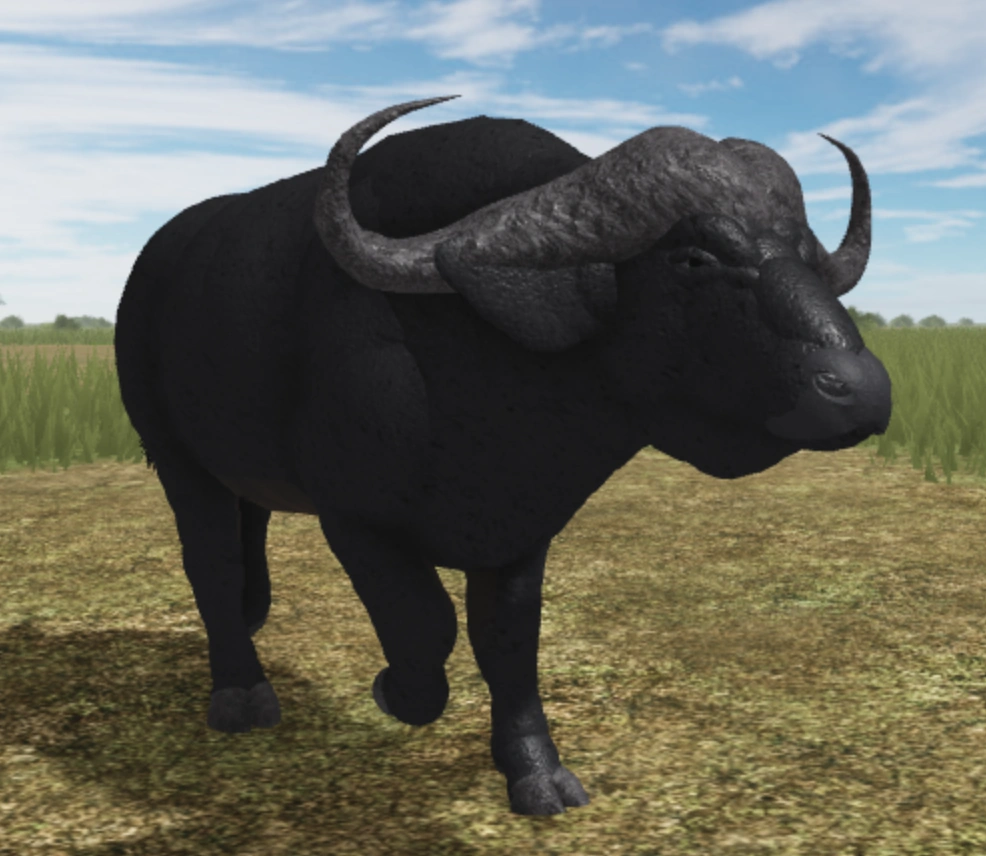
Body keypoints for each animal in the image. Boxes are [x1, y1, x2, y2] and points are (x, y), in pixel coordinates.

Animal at [114, 96, 891, 815]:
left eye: (806, 252)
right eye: (693, 258)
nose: (862, 390)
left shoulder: (524, 528)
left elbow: (510, 641)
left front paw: (536, 773)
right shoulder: (357, 520)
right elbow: (426, 623)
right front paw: (393, 691)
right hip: (175, 457)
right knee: (211, 562)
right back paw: (240, 692)